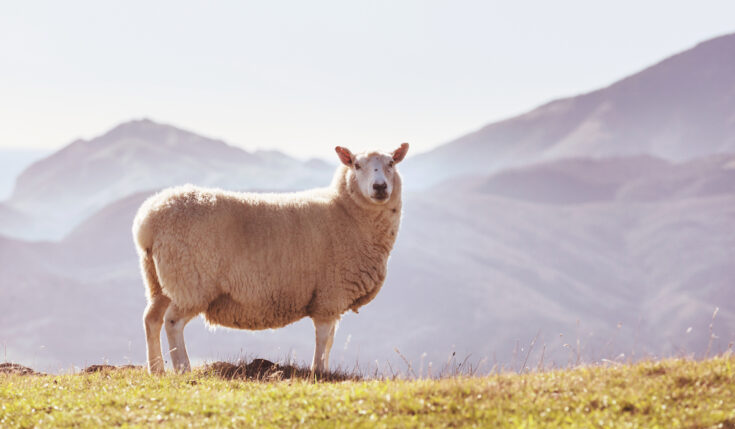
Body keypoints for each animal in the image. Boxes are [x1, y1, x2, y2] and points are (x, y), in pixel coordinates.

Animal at [132, 143, 409, 374]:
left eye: (391, 163)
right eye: (356, 165)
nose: (380, 187)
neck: (345, 211)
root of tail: (148, 221)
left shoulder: (331, 297)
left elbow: (329, 339)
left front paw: (324, 370)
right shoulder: (330, 294)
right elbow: (323, 338)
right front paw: (319, 372)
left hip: (159, 280)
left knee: (151, 319)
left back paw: (156, 370)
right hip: (190, 280)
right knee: (173, 322)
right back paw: (183, 368)